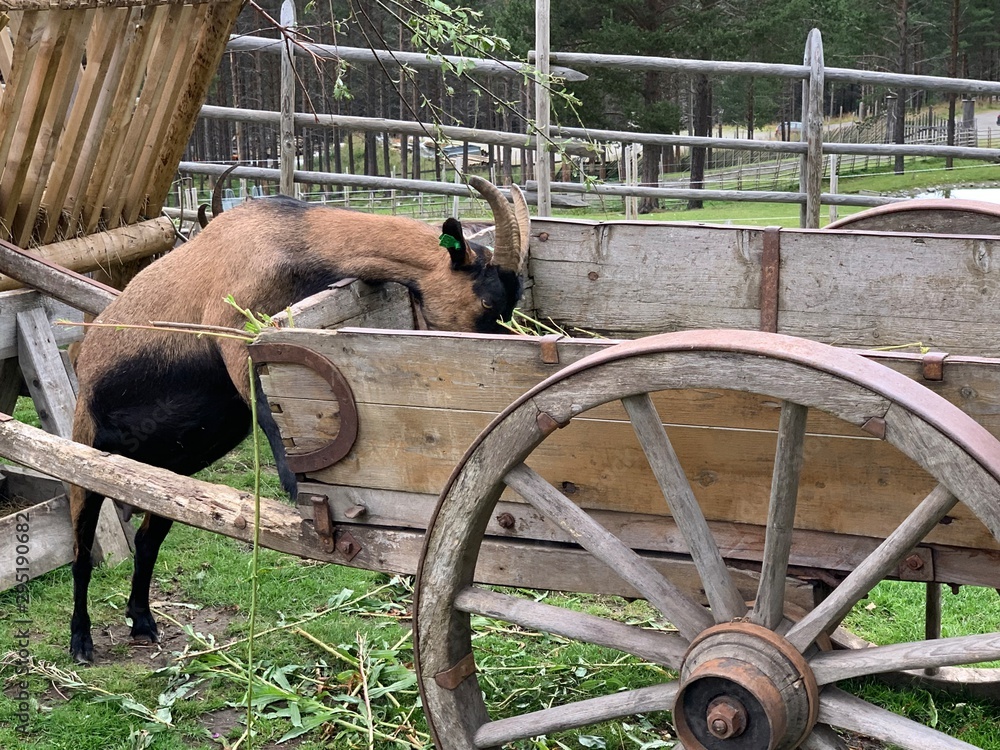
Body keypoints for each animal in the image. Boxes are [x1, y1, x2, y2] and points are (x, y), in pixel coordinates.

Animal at [68, 177, 530, 663]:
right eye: (487, 300)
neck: (294, 239)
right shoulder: (234, 328)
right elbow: (267, 411)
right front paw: (294, 485)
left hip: (171, 468)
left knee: (147, 539)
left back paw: (142, 621)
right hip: (86, 452)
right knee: (81, 552)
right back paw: (81, 641)